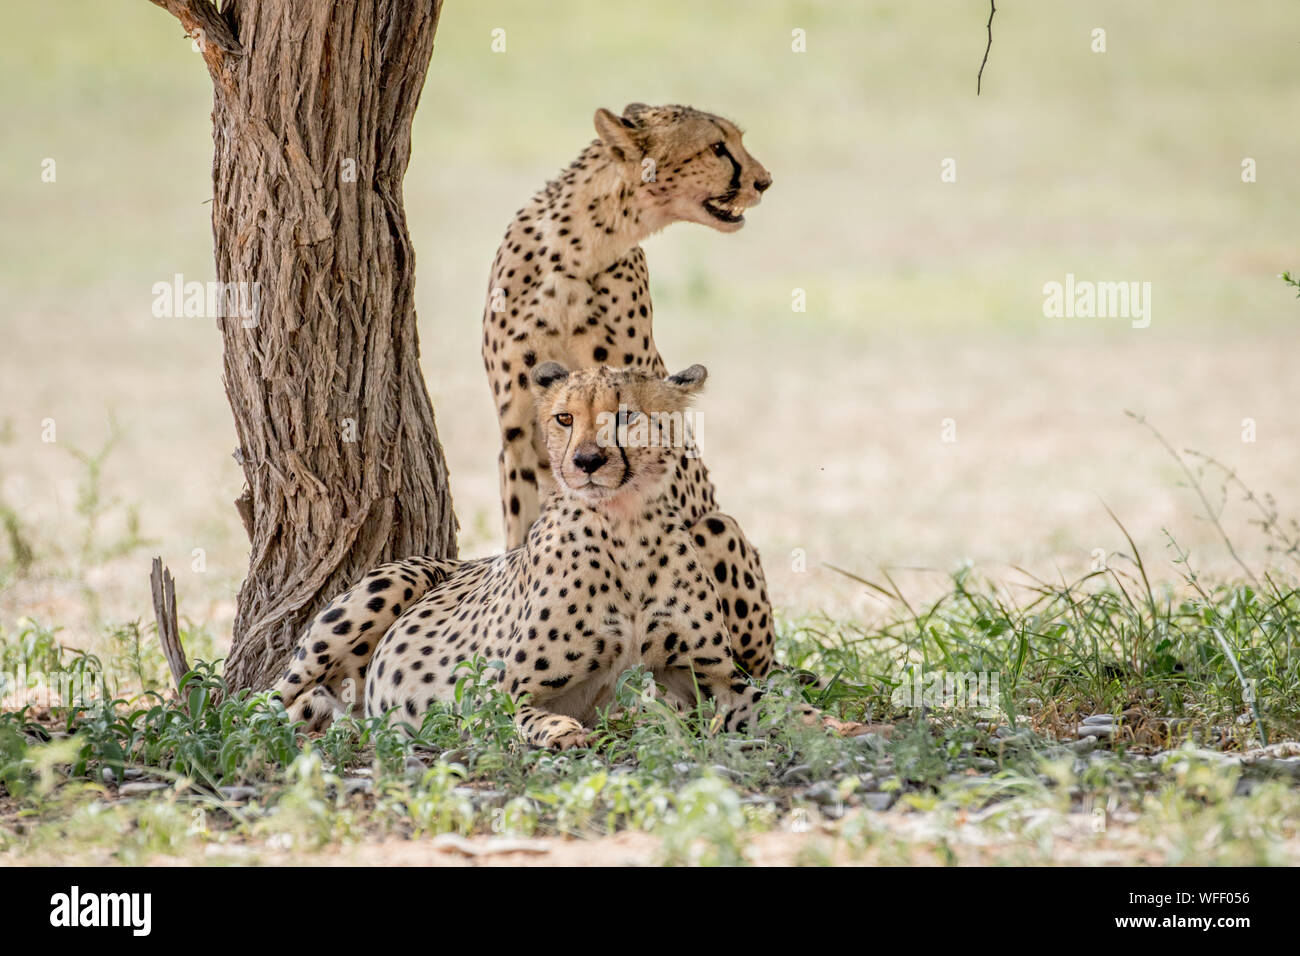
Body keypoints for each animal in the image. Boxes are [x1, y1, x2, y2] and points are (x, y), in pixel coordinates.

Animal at [272, 363, 864, 748]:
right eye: (563, 419)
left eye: (625, 417)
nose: (586, 461)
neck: (627, 528)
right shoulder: (498, 691)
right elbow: (527, 713)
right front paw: (561, 731)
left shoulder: (713, 679)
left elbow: (776, 703)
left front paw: (837, 726)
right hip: (384, 587)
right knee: (270, 702)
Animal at [482, 102, 778, 679]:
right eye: (717, 147)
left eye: (735, 141)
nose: (764, 181)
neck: (581, 250)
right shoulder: (516, 432)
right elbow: (519, 538)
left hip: (717, 530)